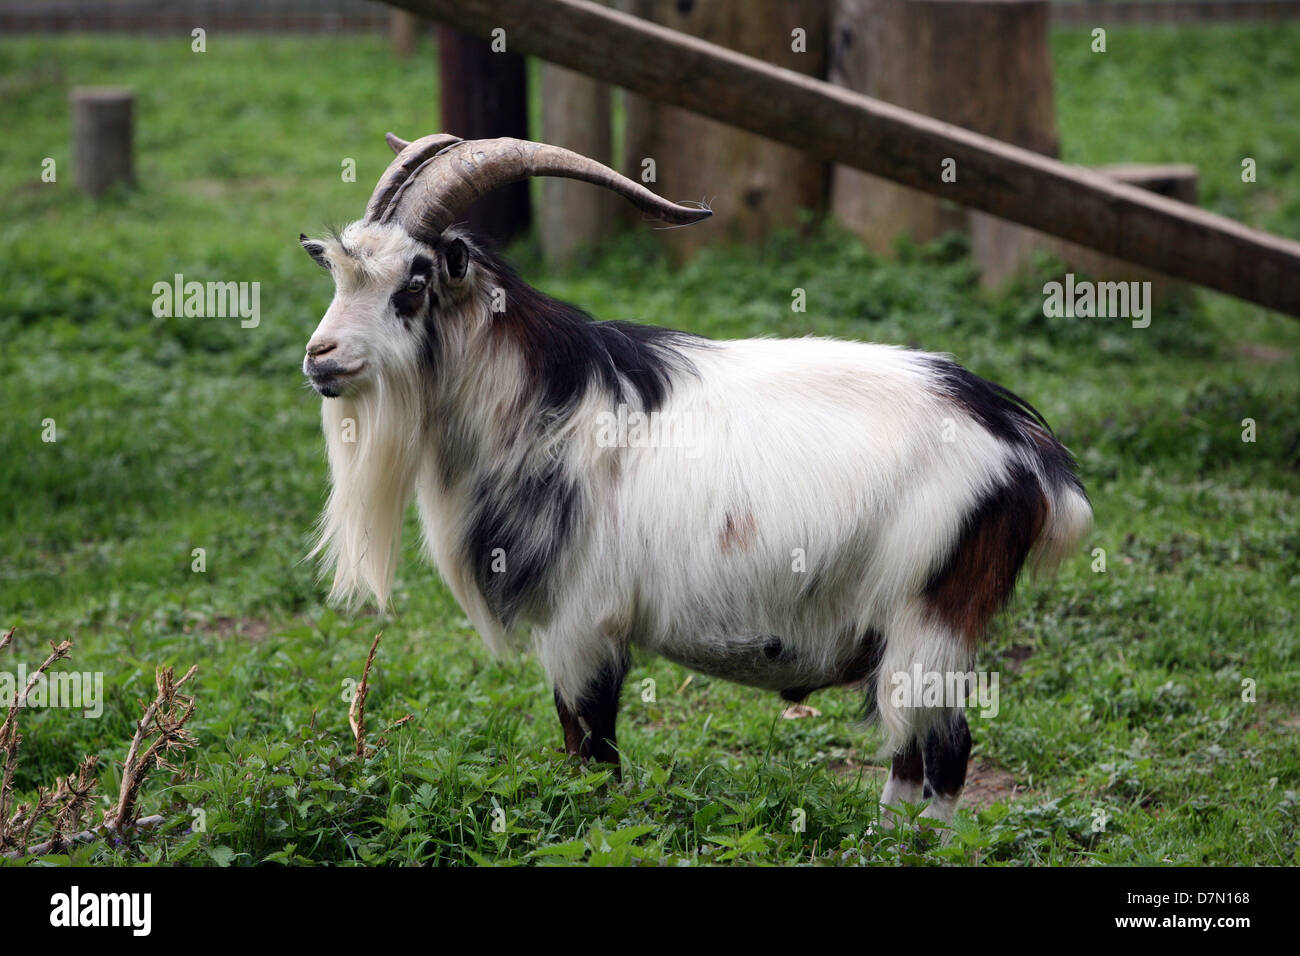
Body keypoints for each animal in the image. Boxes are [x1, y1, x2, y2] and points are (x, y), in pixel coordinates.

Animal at [299, 133, 1092, 823]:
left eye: (415, 279)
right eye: (336, 271)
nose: (319, 357)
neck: (545, 404)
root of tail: (1025, 444)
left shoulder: (584, 622)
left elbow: (592, 753)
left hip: (936, 611)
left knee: (945, 751)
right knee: (908, 754)